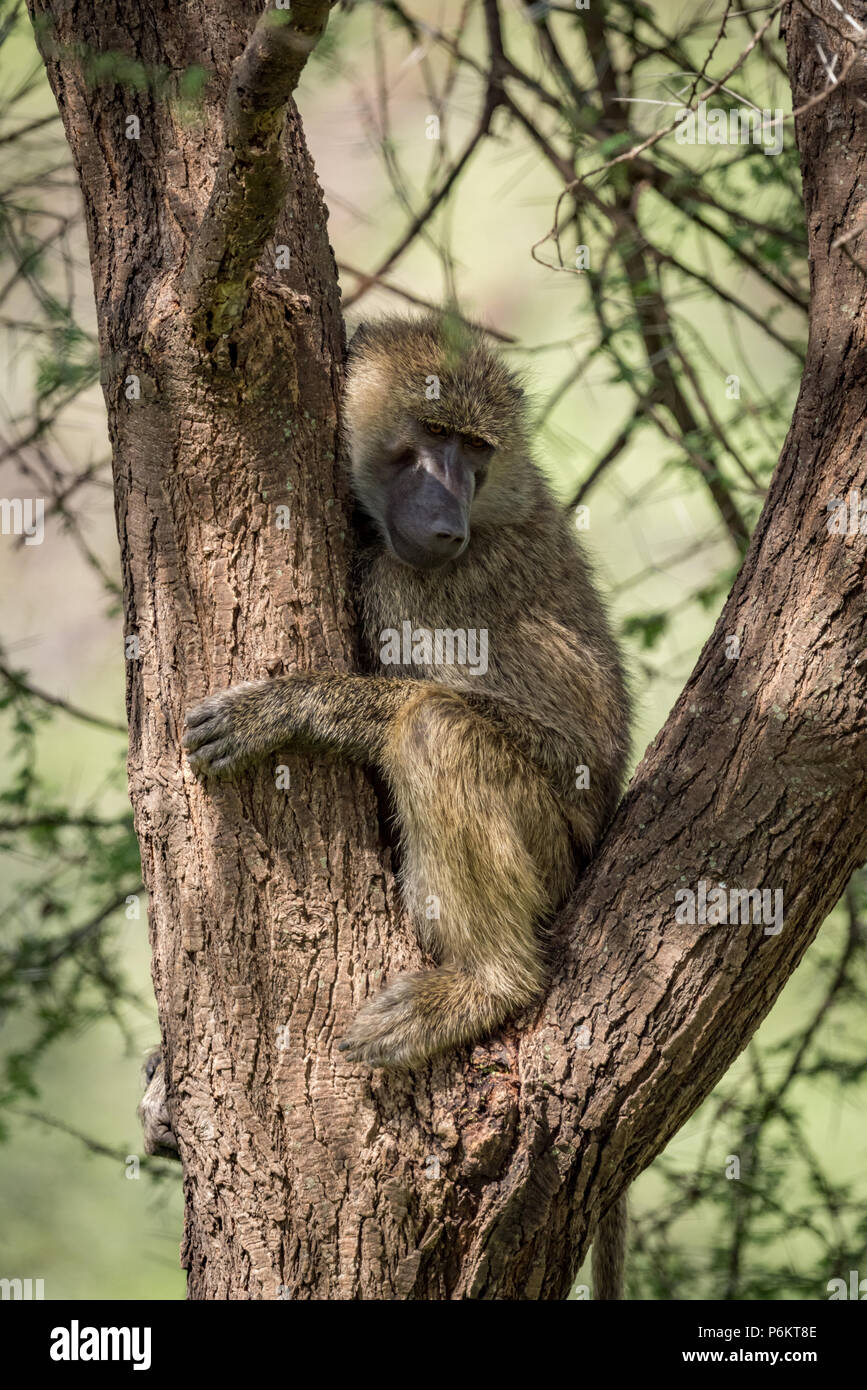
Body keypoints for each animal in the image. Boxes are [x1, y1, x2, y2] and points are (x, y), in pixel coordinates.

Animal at [178, 312, 632, 1293]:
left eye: (475, 450)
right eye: (430, 436)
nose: (448, 521)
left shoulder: (415, 580)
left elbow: (531, 731)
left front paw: (291, 706)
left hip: (552, 851)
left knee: (436, 726)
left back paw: (487, 984)